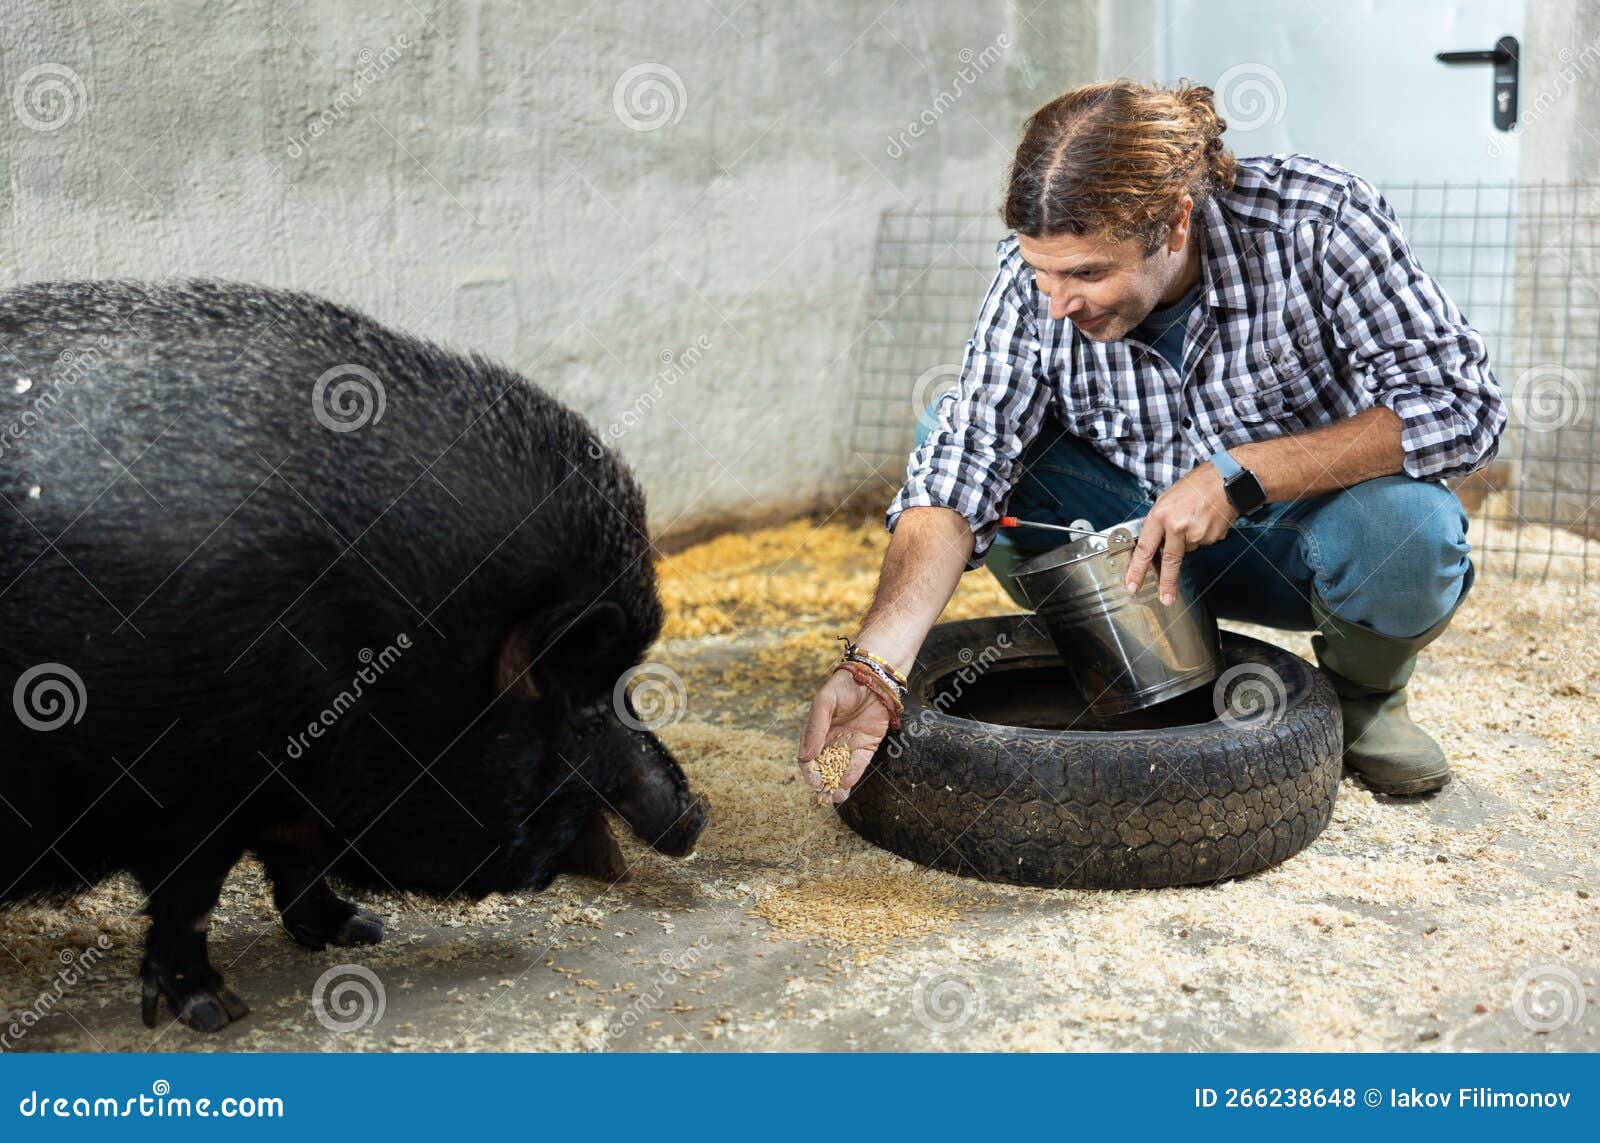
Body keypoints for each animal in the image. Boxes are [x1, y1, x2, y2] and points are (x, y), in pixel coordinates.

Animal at [0, 279, 708, 1031]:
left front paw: (363, 929)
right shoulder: (196, 789)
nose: (696, 813)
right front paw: (218, 1012)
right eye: (584, 705)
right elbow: (192, 896)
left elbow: (295, 857)